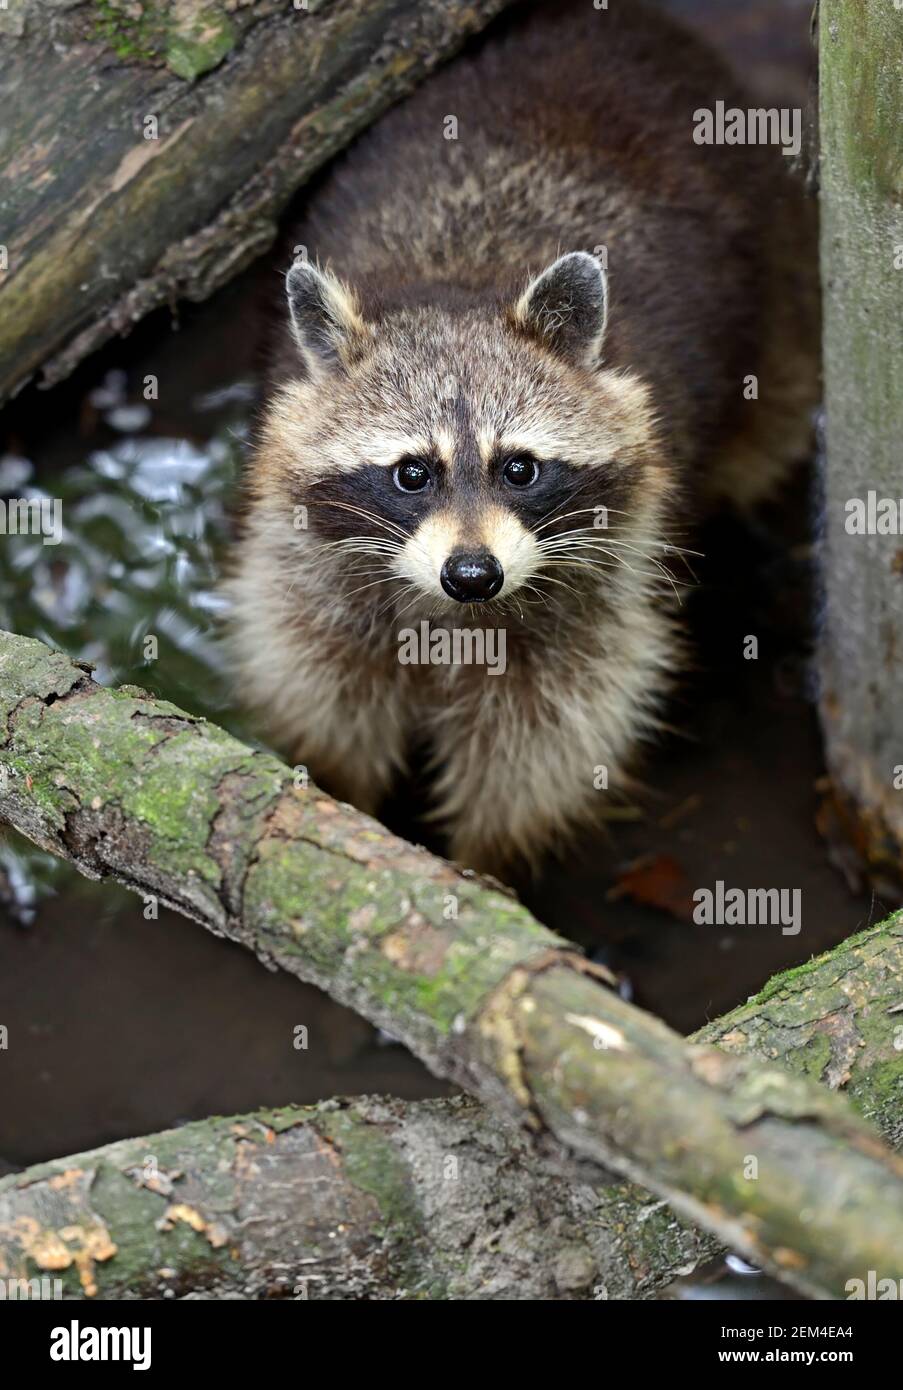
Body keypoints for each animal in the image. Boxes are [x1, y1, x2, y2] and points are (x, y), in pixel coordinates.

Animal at [227, 0, 818, 877]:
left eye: (520, 469)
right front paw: (343, 802)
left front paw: (484, 866)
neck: (461, 291)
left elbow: (541, 742)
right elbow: (322, 687)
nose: (473, 576)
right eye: (411, 474)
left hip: (782, 300)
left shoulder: (599, 589)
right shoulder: (308, 566)